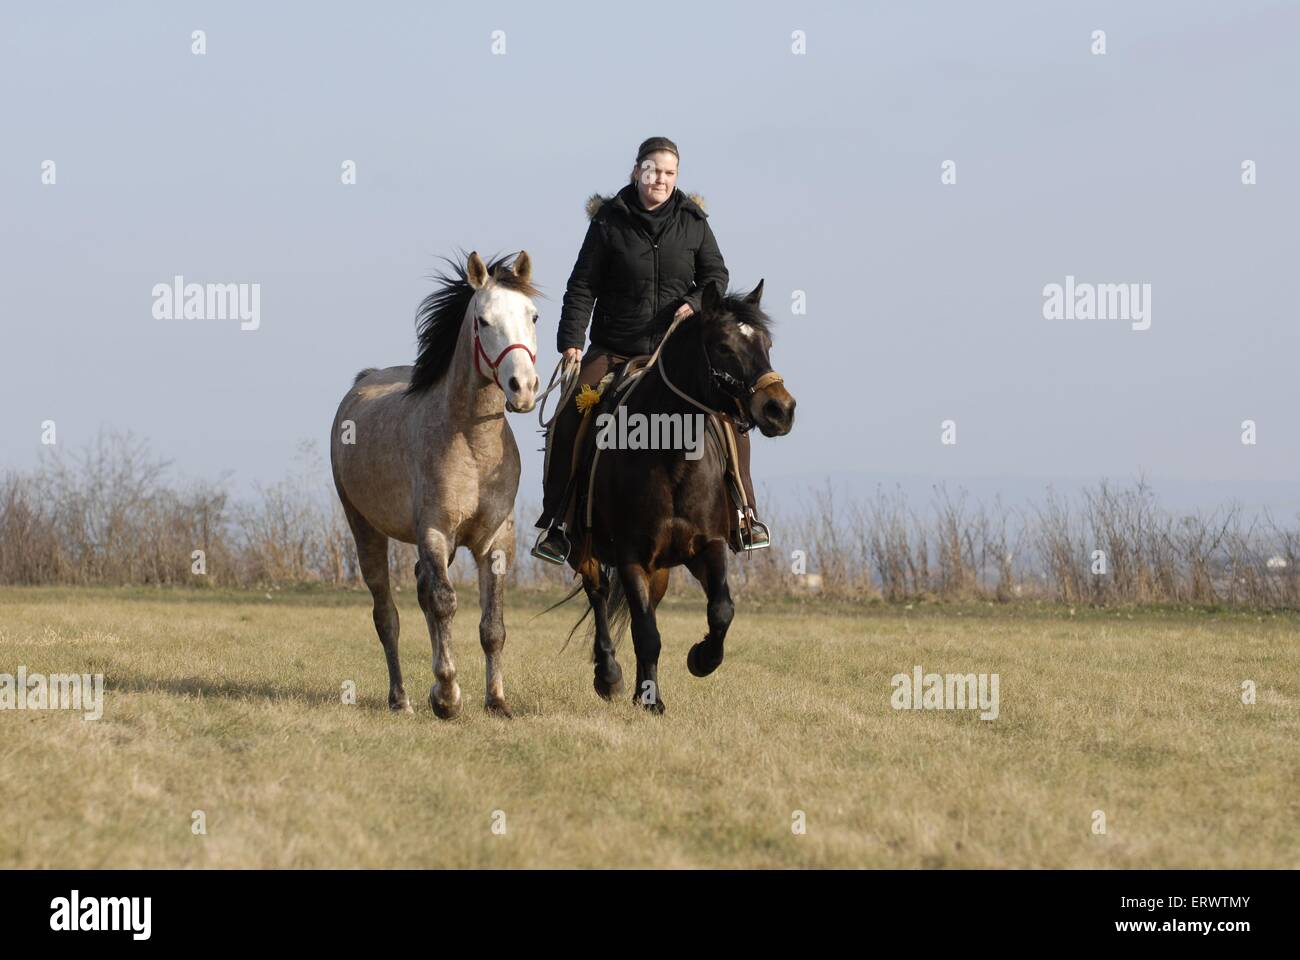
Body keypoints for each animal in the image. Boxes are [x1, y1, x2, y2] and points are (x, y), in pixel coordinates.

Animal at [330, 250, 541, 719]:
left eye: (533, 315)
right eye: (483, 320)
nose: (522, 388)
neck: (473, 446)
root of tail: (362, 382)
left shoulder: (496, 540)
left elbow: (492, 626)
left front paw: (496, 702)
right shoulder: (435, 532)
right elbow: (446, 604)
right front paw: (447, 697)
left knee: (423, 591)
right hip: (364, 529)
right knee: (387, 615)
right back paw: (402, 699)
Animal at [566, 279, 795, 713]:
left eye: (768, 343)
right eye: (723, 346)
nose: (781, 409)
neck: (669, 456)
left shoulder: (709, 544)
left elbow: (721, 610)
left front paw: (701, 659)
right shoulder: (630, 555)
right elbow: (645, 630)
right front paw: (646, 696)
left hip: (660, 568)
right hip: (589, 550)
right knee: (599, 595)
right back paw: (610, 677)